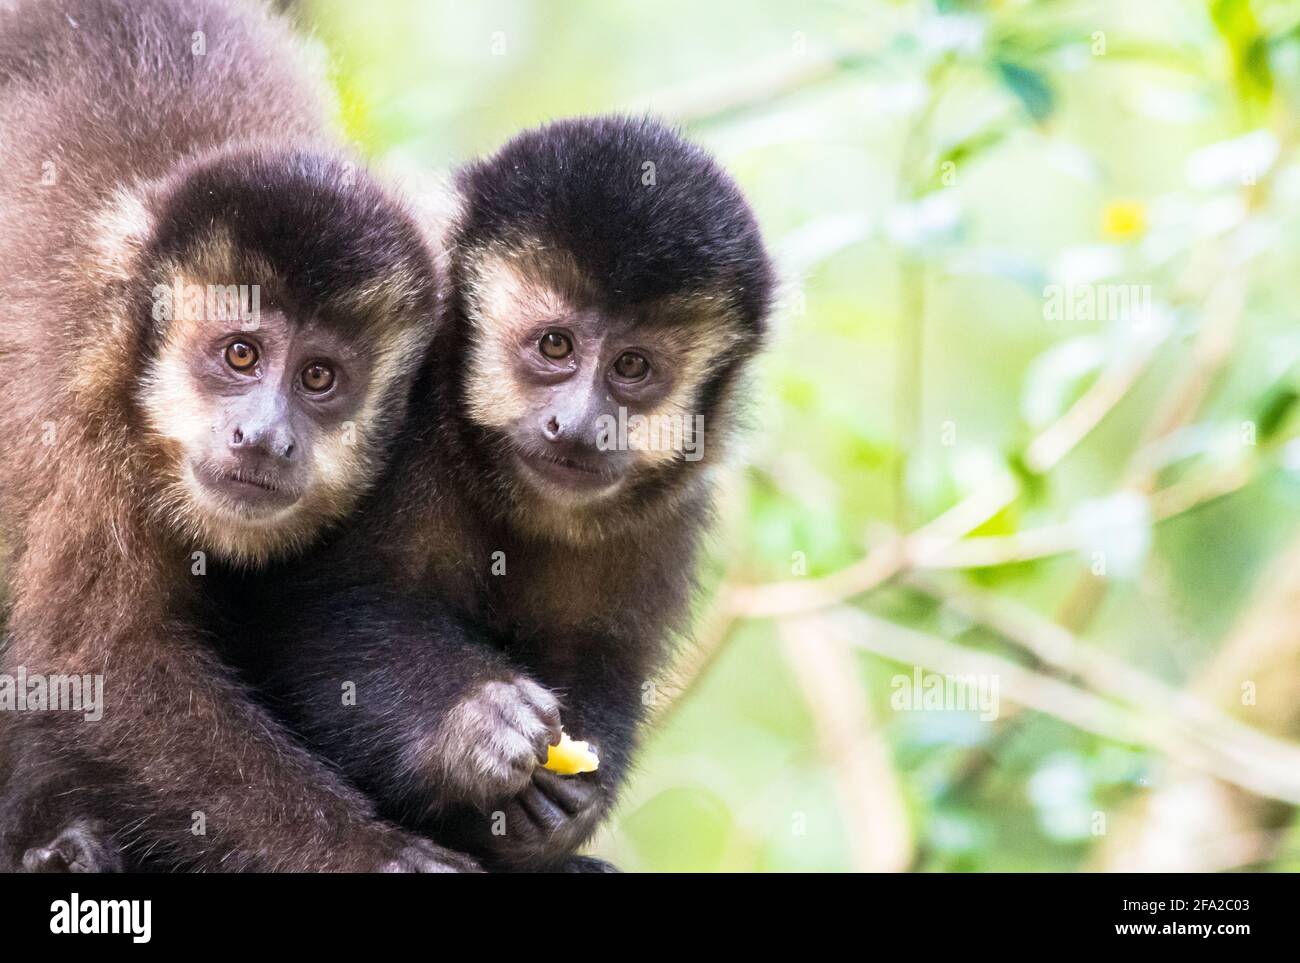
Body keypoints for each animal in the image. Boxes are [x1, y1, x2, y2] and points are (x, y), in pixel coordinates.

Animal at [0, 0, 478, 873]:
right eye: (241, 355)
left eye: (319, 377)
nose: (262, 436)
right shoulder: (82, 410)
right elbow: (89, 663)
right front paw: (380, 853)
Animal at [193, 114, 777, 872]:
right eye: (555, 346)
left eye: (632, 366)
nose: (578, 426)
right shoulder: (404, 428)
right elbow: (320, 620)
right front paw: (475, 723)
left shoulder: (665, 515)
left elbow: (602, 653)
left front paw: (566, 806)